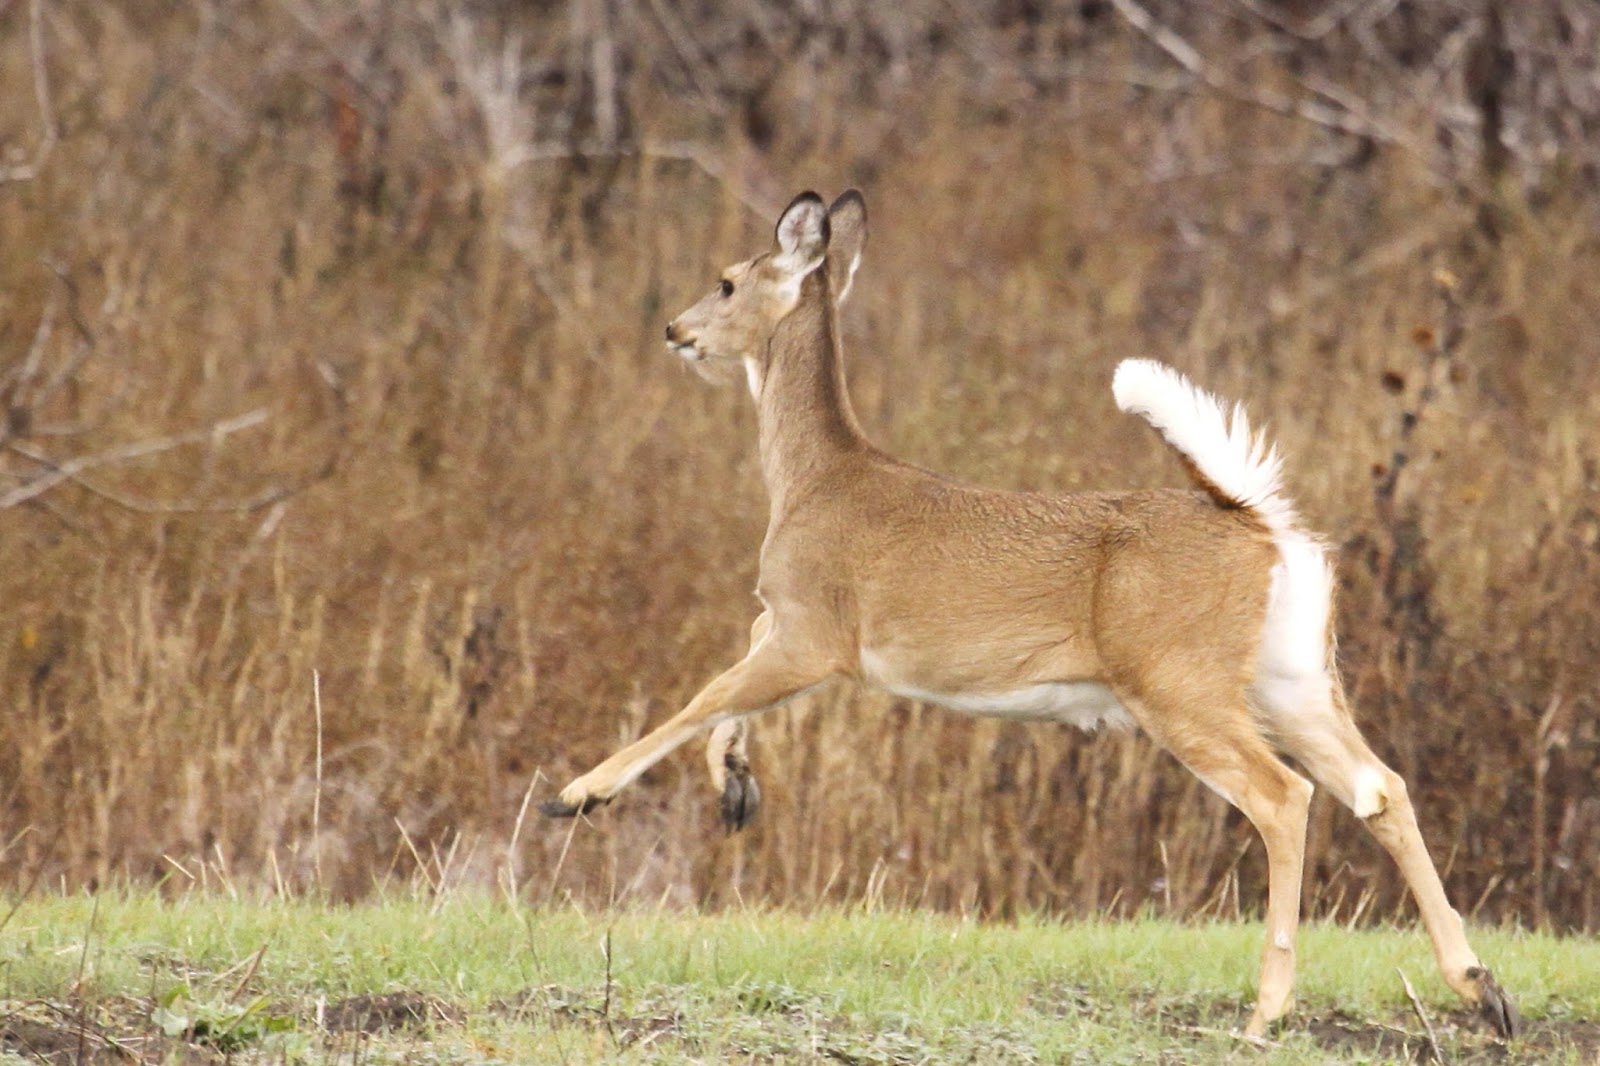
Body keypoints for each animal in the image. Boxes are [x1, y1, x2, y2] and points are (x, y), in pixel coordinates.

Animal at [541, 190, 1520, 1039]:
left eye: (727, 282)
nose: (674, 329)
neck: (814, 480)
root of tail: (1261, 526)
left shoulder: (819, 630)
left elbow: (702, 692)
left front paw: (577, 794)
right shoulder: (796, 630)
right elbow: (727, 683)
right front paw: (735, 788)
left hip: (1179, 683)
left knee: (1286, 797)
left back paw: (1264, 1014)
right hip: (1294, 677)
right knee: (1379, 785)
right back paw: (1483, 990)